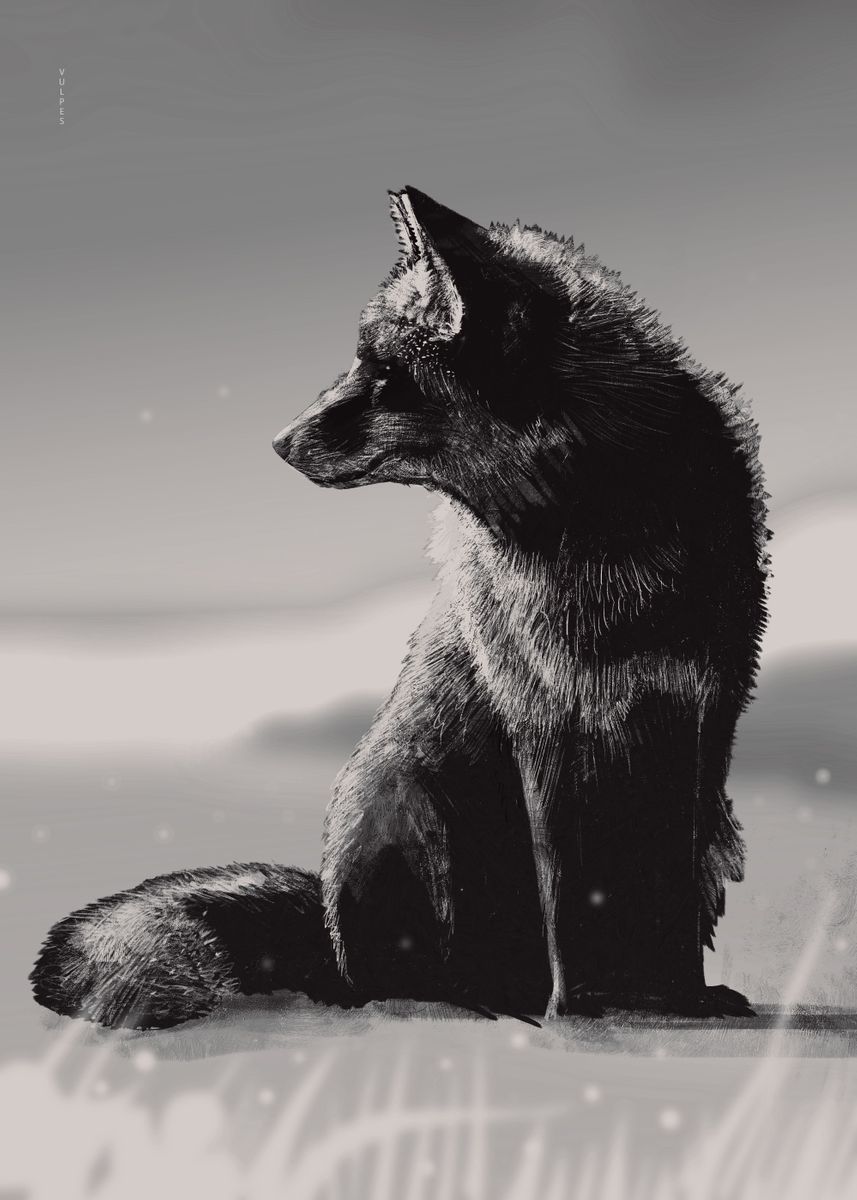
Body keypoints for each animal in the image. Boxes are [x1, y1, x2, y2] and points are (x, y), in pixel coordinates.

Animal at [31, 187, 768, 1028]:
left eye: (384, 373)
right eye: (359, 360)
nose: (278, 441)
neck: (599, 534)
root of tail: (326, 937)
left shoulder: (682, 710)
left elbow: (652, 892)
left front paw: (665, 1000)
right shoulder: (551, 720)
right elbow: (578, 895)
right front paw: (596, 1008)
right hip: (411, 815)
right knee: (409, 980)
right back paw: (490, 1002)